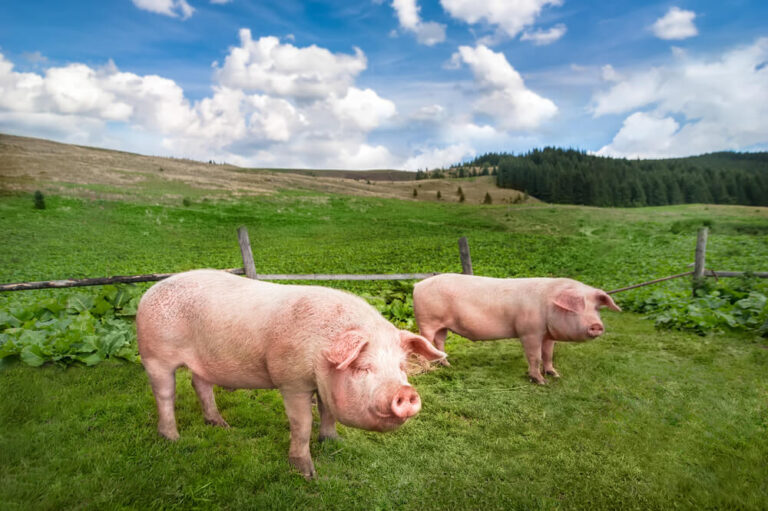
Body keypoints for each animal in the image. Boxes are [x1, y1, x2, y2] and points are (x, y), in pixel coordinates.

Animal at [136, 269, 446, 478]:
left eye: (401, 367)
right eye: (363, 367)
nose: (406, 392)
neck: (321, 353)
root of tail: (149, 291)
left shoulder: (322, 384)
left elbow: (327, 412)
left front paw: (334, 441)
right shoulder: (292, 382)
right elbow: (302, 423)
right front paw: (307, 473)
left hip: (204, 359)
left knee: (200, 384)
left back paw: (222, 426)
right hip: (155, 356)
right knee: (165, 394)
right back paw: (173, 439)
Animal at [413, 274, 620, 384]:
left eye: (596, 308)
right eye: (577, 305)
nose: (597, 325)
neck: (547, 305)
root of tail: (417, 285)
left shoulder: (547, 335)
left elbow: (548, 354)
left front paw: (555, 374)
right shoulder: (529, 332)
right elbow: (535, 356)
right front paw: (541, 381)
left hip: (442, 326)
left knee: (439, 342)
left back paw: (447, 365)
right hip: (427, 321)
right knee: (425, 341)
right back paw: (428, 368)